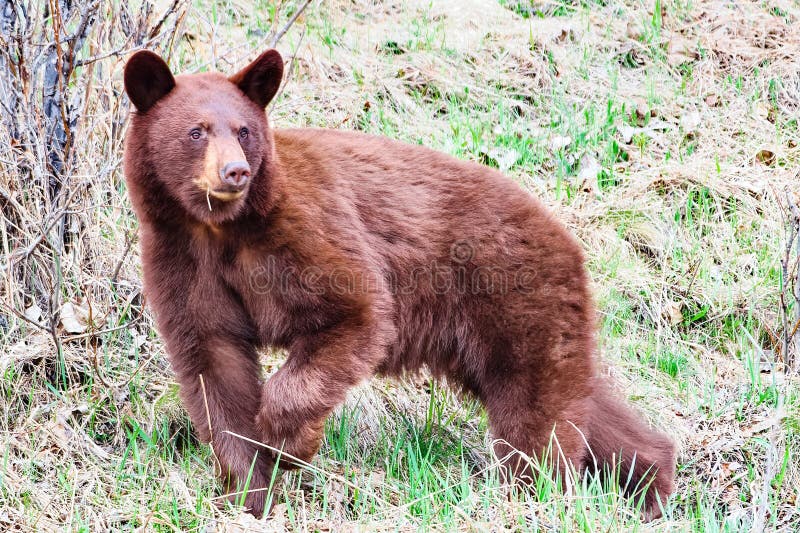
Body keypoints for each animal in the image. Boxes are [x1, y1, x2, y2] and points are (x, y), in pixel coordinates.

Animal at [122, 48, 676, 520]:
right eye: (196, 131)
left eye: (243, 130)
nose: (235, 171)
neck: (221, 228)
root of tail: (566, 237)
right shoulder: (182, 260)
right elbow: (213, 364)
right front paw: (250, 493)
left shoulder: (303, 230)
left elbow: (357, 310)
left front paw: (287, 442)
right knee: (582, 402)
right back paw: (650, 481)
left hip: (515, 299)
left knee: (536, 414)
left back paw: (538, 496)